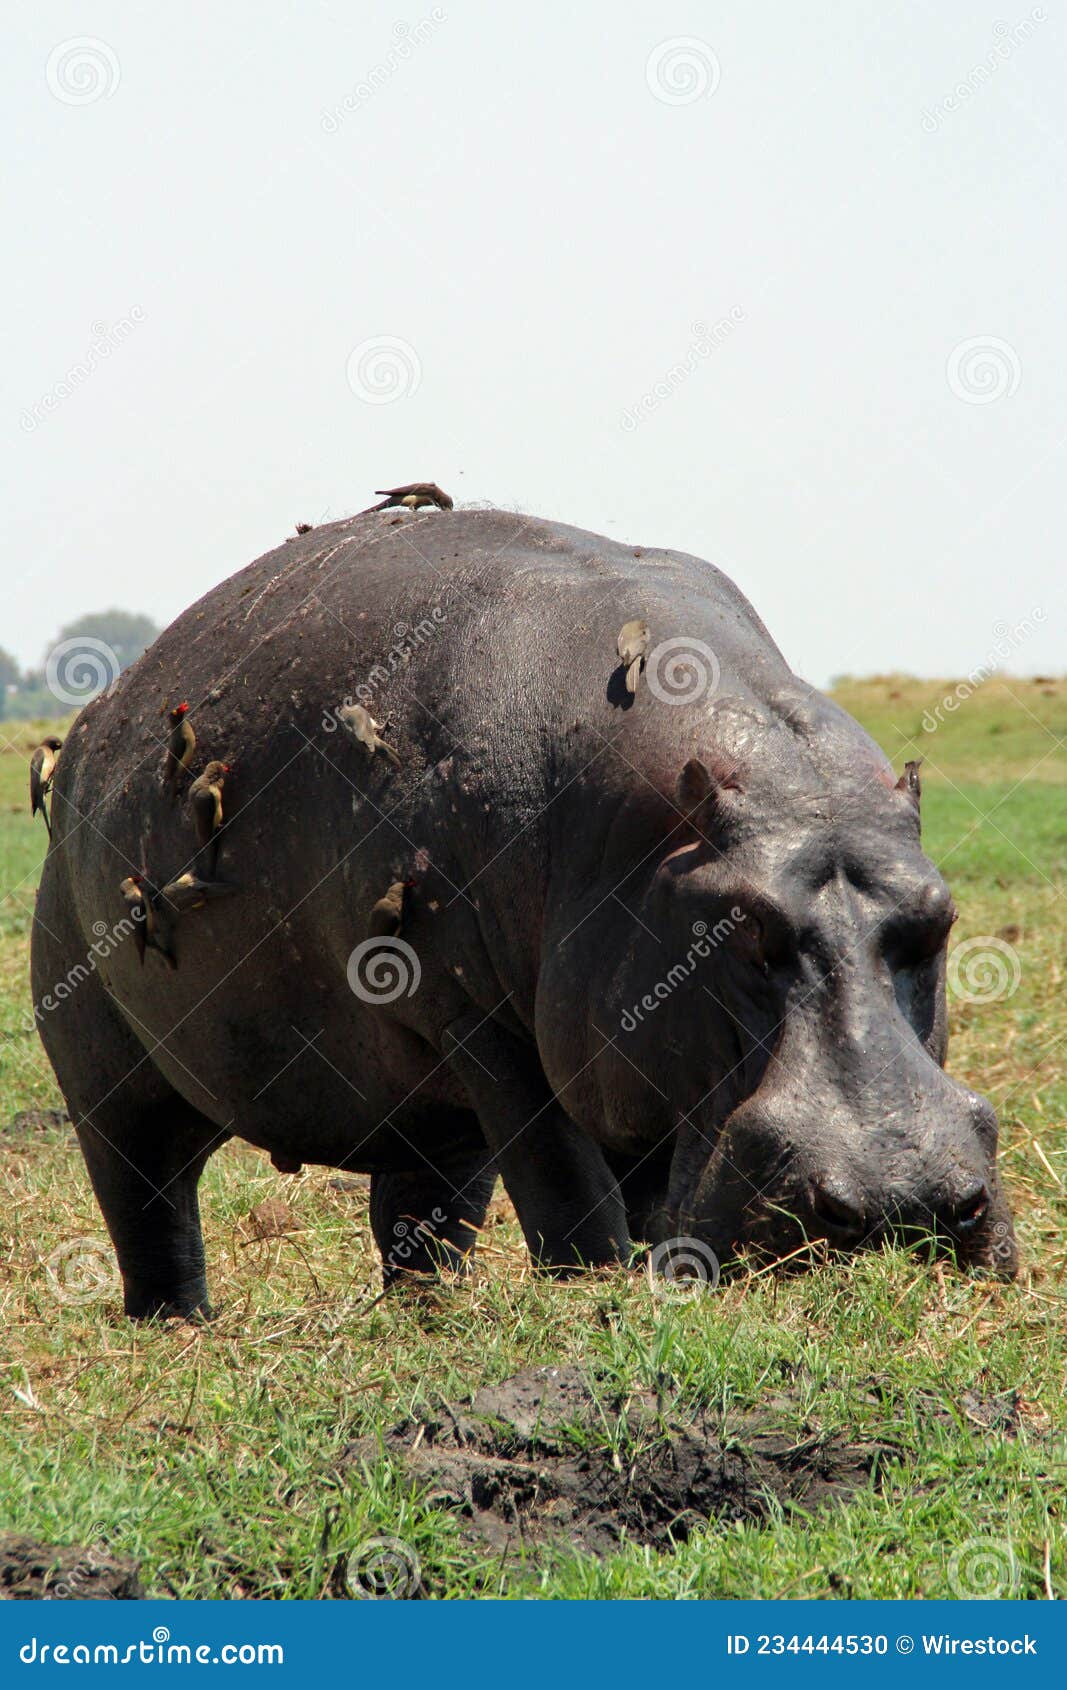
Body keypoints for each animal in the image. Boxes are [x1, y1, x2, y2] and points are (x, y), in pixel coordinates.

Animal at [30, 510, 1016, 1317]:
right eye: (738, 933)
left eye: (938, 919)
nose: (900, 1203)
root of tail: (93, 726)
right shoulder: (487, 1025)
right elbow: (562, 1179)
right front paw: (595, 1286)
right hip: (106, 1074)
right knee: (150, 1203)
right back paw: (178, 1325)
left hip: (426, 1106)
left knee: (419, 1215)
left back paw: (426, 1315)